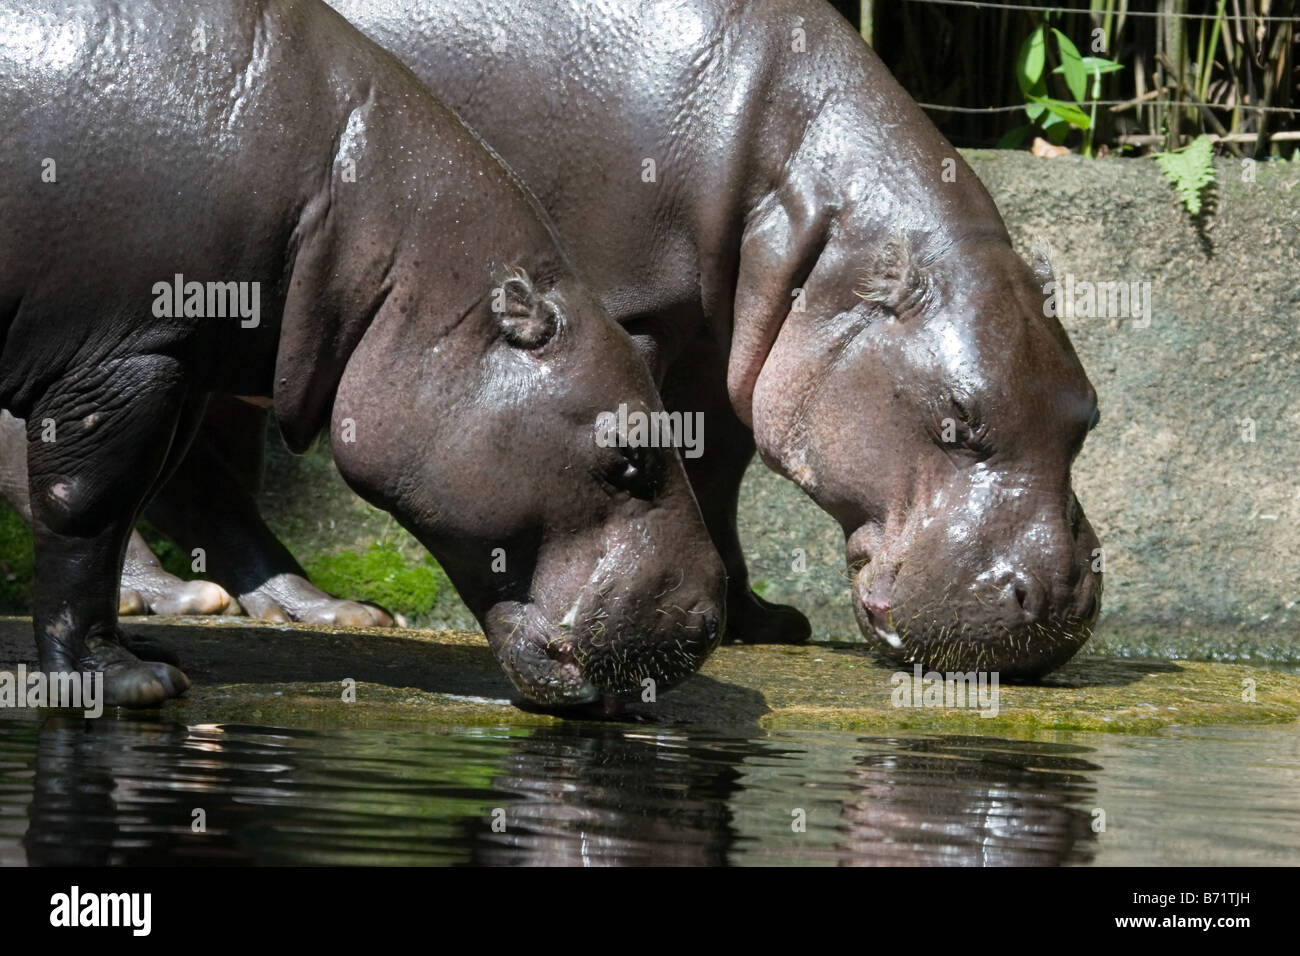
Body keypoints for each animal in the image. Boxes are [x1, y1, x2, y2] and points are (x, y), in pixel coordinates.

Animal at [0, 0, 725, 708]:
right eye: (628, 456)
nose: (710, 621)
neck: (390, 256)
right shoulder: (129, 357)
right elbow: (88, 509)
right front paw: (124, 679)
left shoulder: (181, 365)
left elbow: (165, 493)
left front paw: (149, 653)